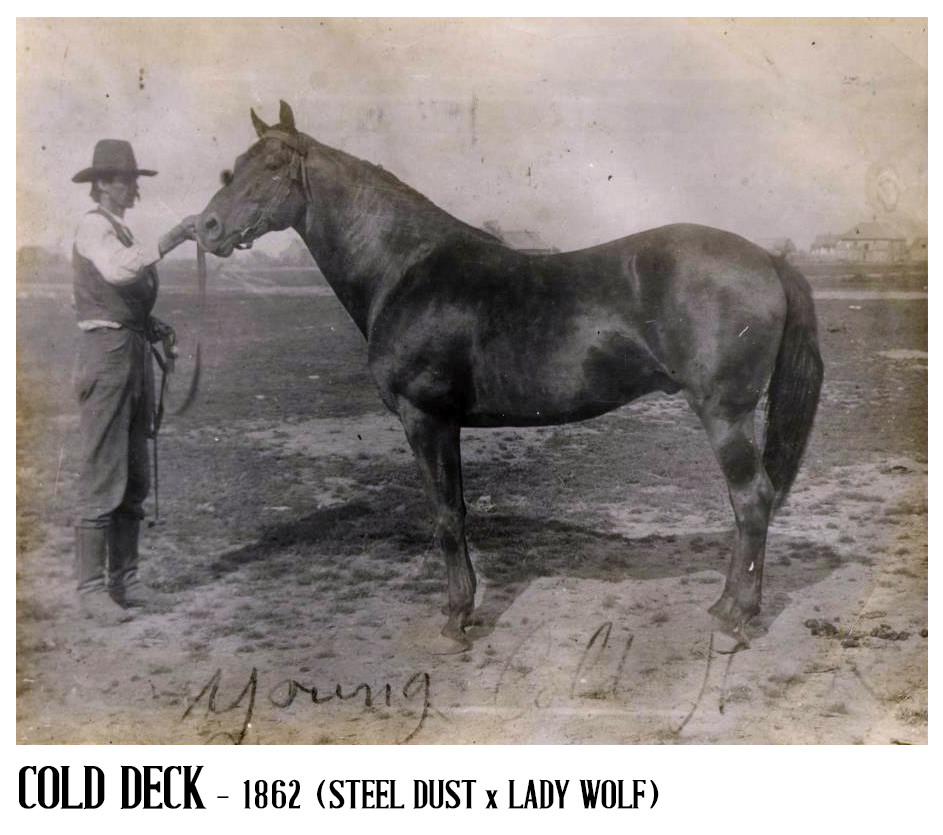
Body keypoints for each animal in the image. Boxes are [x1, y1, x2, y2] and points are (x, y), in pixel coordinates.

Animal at [195, 100, 823, 651]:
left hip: (725, 414)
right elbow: (458, 510)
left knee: (752, 500)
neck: (404, 268)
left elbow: (447, 516)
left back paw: (736, 615)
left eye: (272, 166)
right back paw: (725, 605)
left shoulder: (425, 418)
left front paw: (457, 618)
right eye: (235, 166)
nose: (208, 227)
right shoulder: (445, 423)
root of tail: (769, 260)